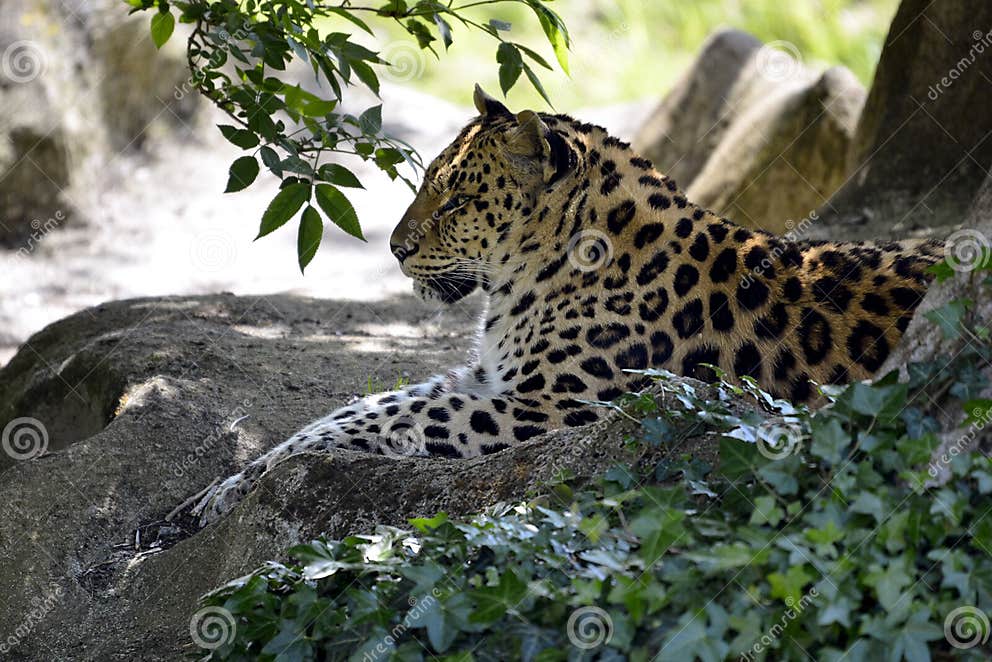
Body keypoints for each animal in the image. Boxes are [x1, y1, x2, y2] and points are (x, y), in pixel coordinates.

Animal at [189, 84, 944, 525]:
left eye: (457, 201)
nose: (398, 250)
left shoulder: (548, 407)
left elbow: (401, 416)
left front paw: (246, 486)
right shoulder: (488, 375)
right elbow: (358, 408)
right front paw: (228, 485)